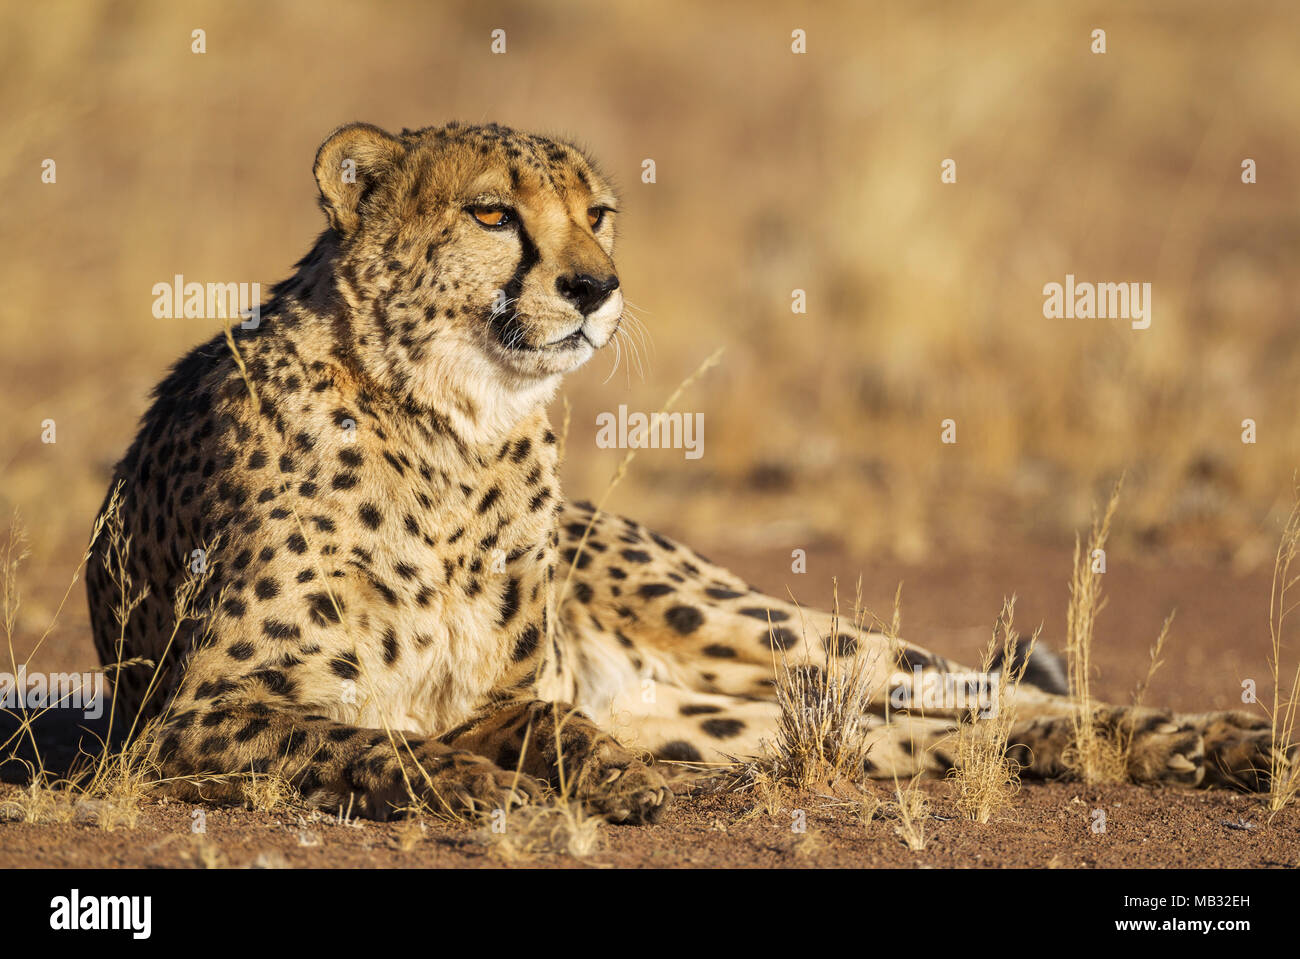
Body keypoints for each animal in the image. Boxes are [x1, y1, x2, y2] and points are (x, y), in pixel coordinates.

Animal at [85, 121, 1288, 824]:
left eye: (598, 213)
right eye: (491, 212)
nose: (593, 286)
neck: (454, 421)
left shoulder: (509, 694)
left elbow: (560, 724)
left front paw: (608, 774)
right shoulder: (179, 718)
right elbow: (350, 735)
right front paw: (458, 779)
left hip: (751, 627)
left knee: (988, 687)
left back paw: (1223, 739)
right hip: (755, 718)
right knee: (953, 730)